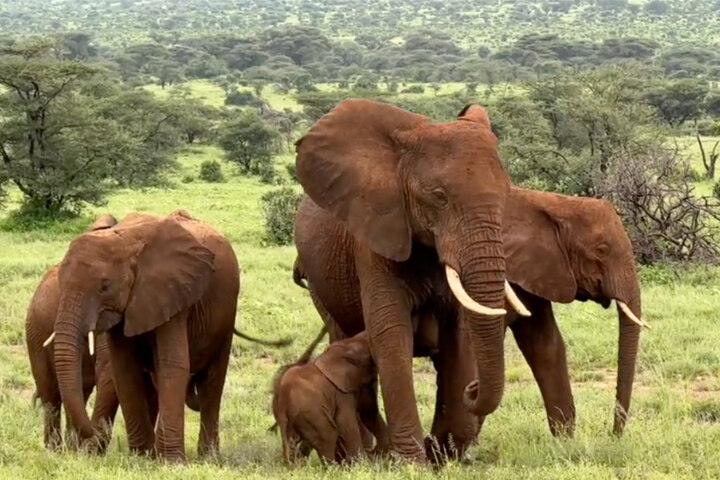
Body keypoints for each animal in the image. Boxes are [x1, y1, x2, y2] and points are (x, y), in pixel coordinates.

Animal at [51, 209, 240, 462]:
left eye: (104, 286)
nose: (90, 433)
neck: (124, 241)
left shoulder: (172, 292)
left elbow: (173, 365)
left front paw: (171, 462)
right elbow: (124, 369)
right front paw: (141, 458)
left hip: (225, 317)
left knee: (212, 382)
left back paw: (208, 458)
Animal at [272, 331, 388, 464]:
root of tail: (283, 405)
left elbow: (368, 413)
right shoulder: (340, 393)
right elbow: (346, 422)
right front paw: (361, 463)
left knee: (293, 442)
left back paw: (296, 466)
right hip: (311, 414)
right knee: (328, 435)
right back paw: (334, 466)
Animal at [292, 99, 529, 461]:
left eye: (506, 194)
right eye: (439, 196)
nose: (473, 389)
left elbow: (459, 336)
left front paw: (446, 457)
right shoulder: (376, 235)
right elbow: (391, 335)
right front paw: (413, 463)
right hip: (319, 281)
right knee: (343, 341)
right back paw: (368, 453)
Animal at [293, 185, 648, 459]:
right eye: (602, 249)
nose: (613, 433)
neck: (545, 202)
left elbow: (545, 345)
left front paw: (564, 445)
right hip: (324, 286)